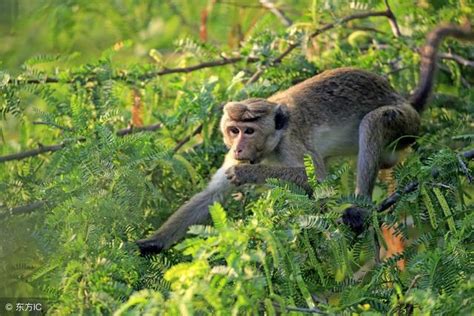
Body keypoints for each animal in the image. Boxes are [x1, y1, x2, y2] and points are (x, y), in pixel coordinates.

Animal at [137, 24, 474, 254]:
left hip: (405, 121)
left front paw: (248, 174)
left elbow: (318, 182)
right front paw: (150, 244)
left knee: (373, 122)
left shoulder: (291, 144)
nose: (239, 147)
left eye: (249, 130)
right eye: (233, 130)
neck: (274, 141)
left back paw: (360, 209)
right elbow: (210, 196)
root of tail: (404, 99)